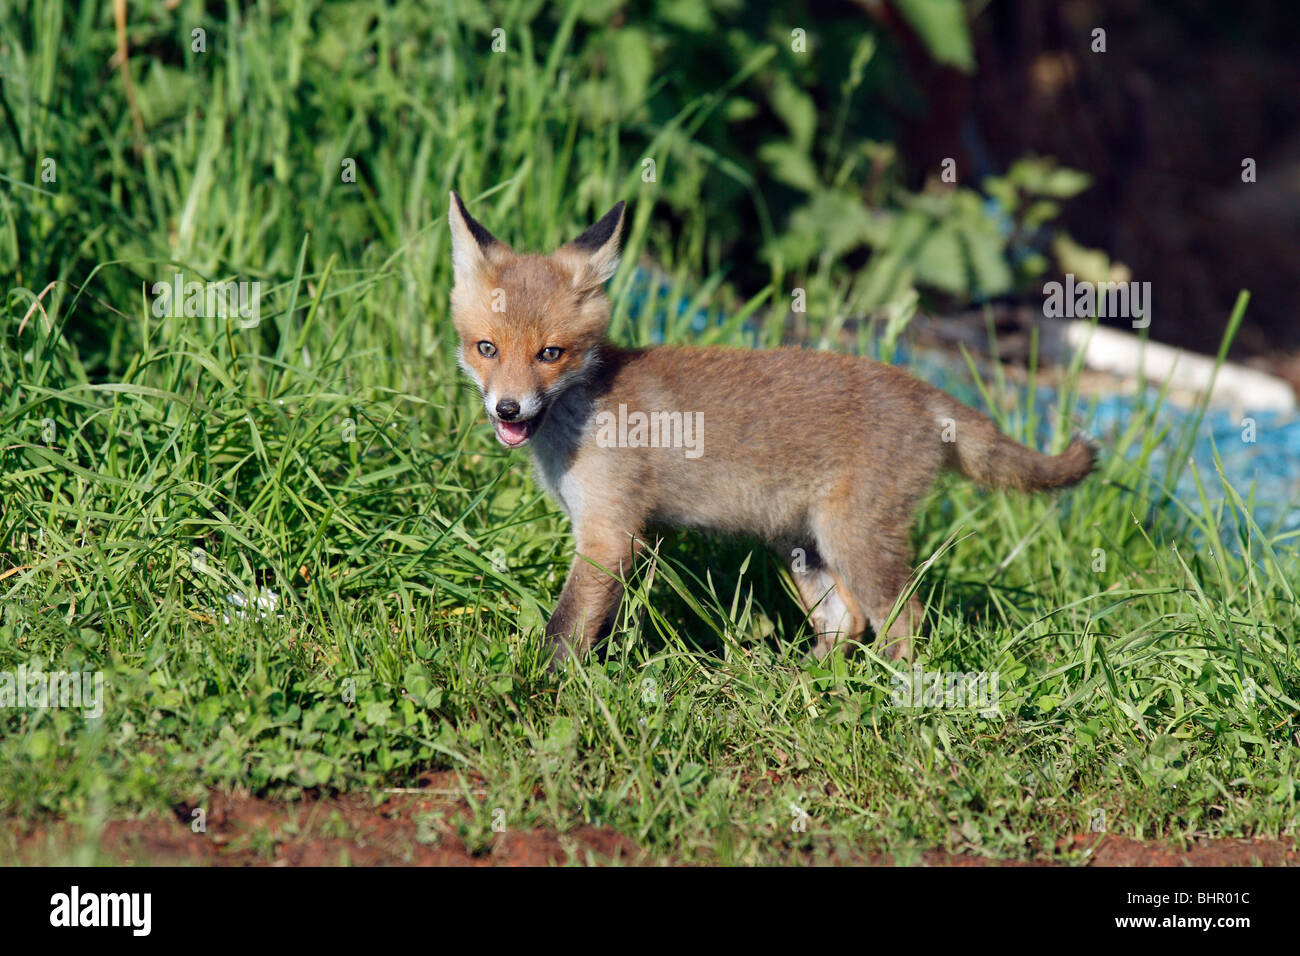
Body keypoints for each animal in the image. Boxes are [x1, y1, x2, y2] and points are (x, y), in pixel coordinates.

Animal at [448, 192, 1096, 669]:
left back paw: (895, 693)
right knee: (847, 619)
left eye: (550, 353)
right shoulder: (617, 534)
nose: (508, 410)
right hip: (804, 544)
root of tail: (919, 387)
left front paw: (544, 684)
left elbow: (565, 628)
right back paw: (806, 680)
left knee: (904, 620)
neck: (587, 411)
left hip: (855, 539)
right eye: (487, 348)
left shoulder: (610, 534)